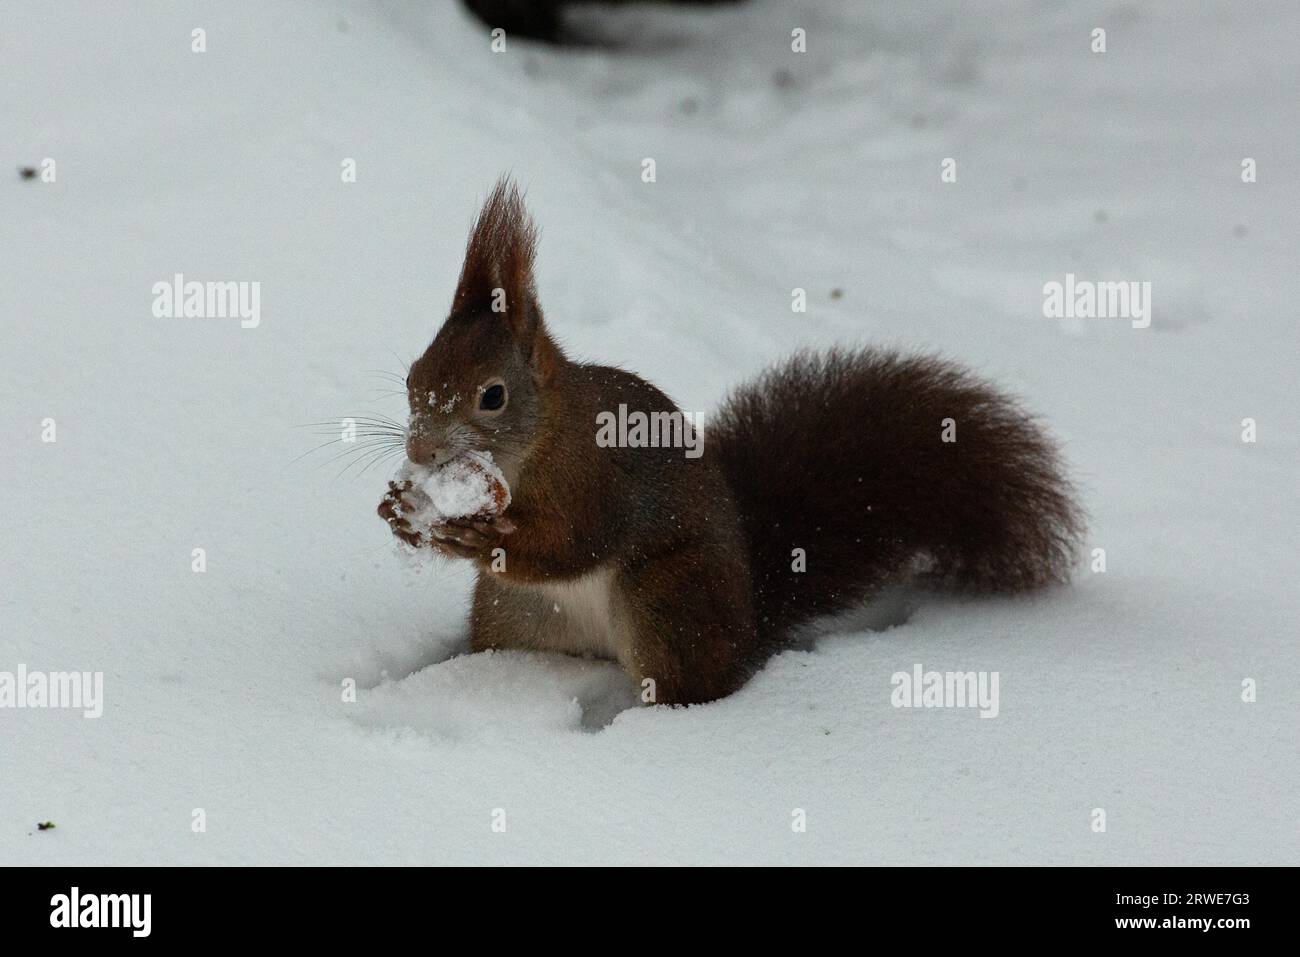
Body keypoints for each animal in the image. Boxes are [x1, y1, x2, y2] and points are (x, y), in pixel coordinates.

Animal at [379, 178, 1083, 705]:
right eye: (413, 377)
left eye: (492, 396)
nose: (419, 453)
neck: (537, 442)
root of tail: (747, 628)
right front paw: (399, 513)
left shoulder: (594, 479)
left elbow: (575, 541)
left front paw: (480, 537)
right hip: (511, 614)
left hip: (667, 597)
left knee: (688, 686)